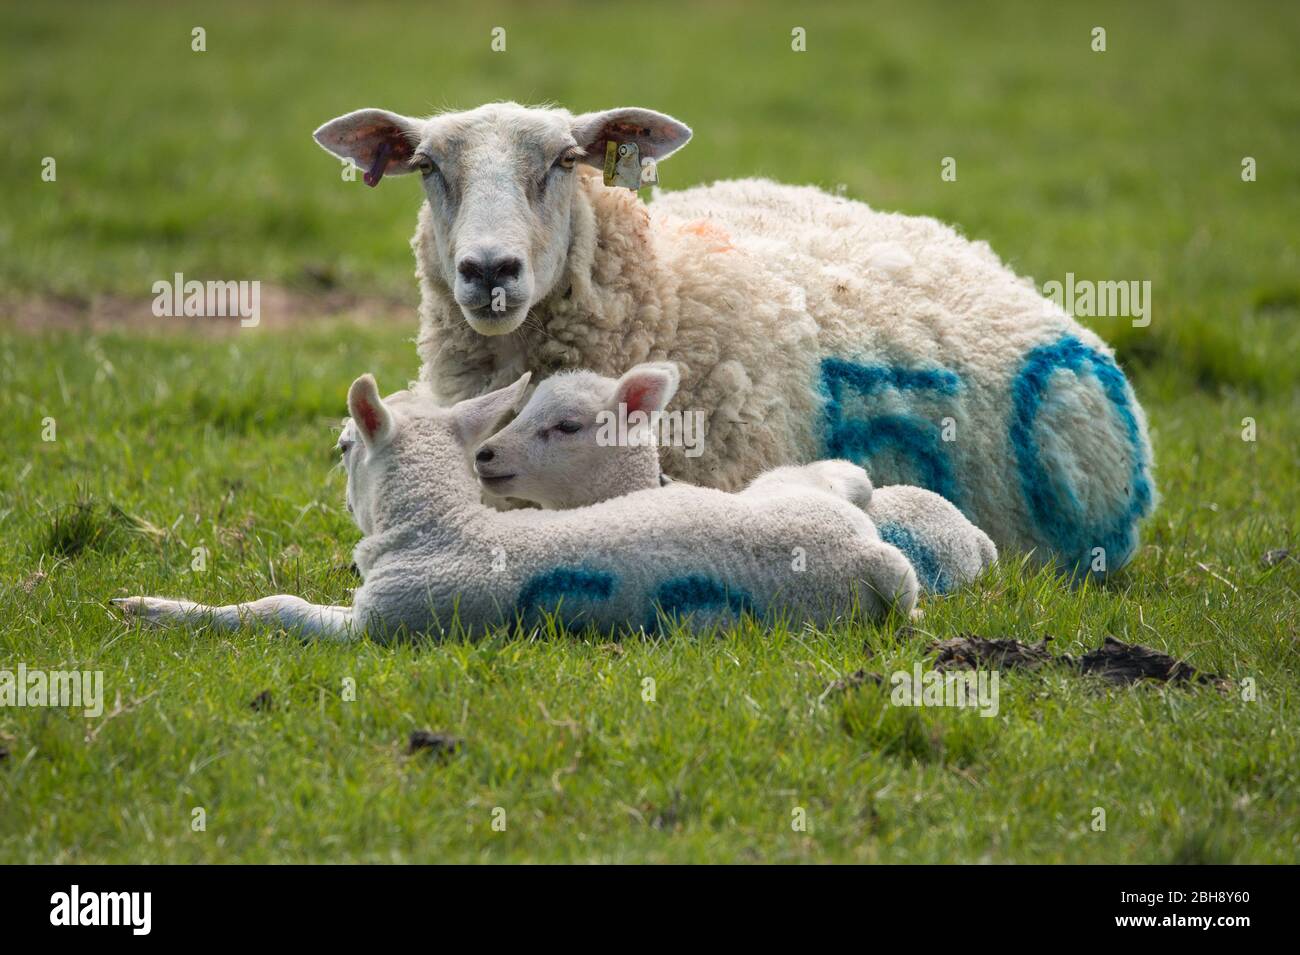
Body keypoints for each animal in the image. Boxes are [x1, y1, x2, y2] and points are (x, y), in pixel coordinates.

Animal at [114, 374, 919, 640]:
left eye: (342, 447)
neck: (441, 525)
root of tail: (873, 556)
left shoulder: (387, 625)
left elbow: (279, 609)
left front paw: (154, 608)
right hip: (796, 494)